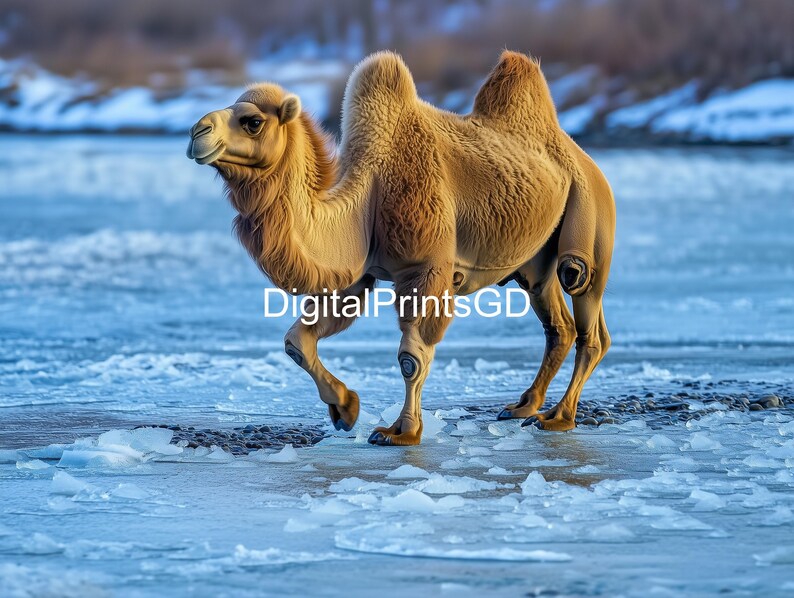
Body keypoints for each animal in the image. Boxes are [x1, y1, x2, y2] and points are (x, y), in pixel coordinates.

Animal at [187, 50, 615, 445]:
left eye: (252, 121)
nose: (195, 132)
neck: (368, 194)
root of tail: (585, 157)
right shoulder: (356, 274)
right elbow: (297, 342)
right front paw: (346, 408)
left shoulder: (427, 267)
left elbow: (411, 357)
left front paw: (401, 432)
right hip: (534, 265)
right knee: (558, 326)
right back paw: (524, 406)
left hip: (589, 216)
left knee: (584, 304)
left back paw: (558, 417)